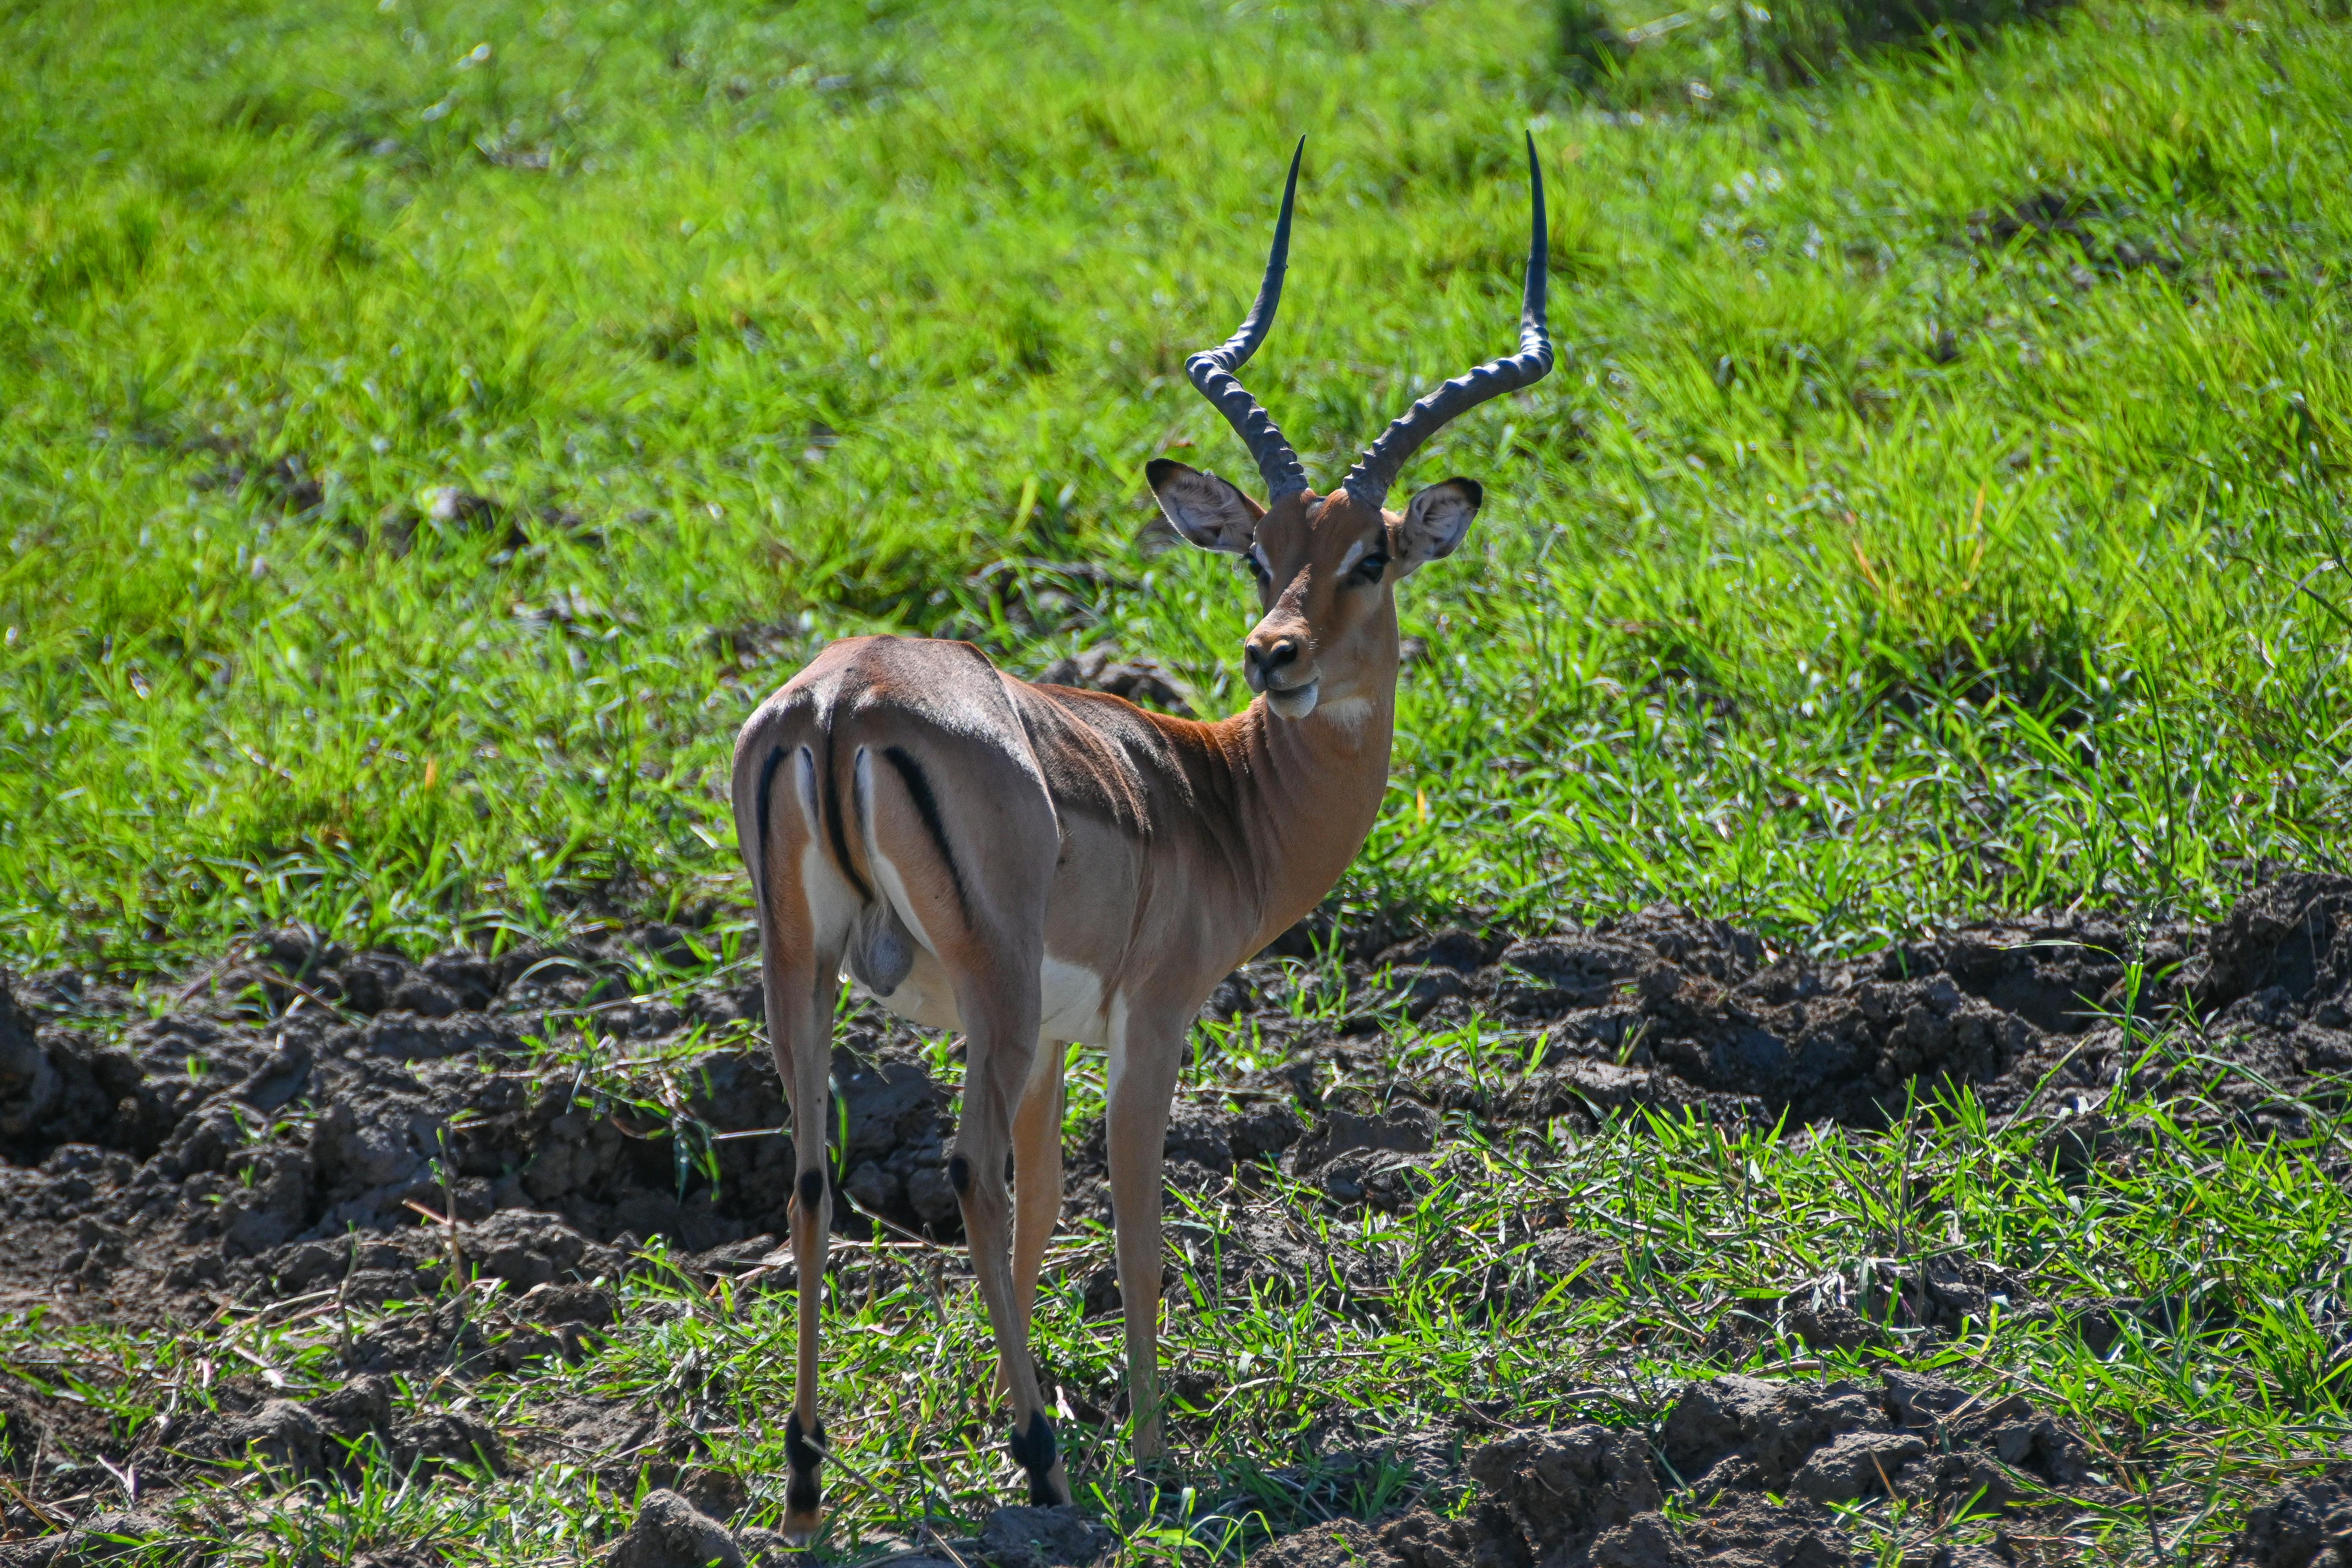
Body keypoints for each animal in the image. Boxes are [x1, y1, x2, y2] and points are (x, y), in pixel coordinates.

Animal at [730, 134, 1554, 1534]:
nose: (1274, 653)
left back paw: (804, 1480)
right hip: (989, 985)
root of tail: (840, 701)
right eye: (1263, 550)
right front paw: (1147, 1448)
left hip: (810, 970)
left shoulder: (1055, 1044)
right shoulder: (1149, 1018)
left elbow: (1041, 1216)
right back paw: (1036, 1460)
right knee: (962, 1168)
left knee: (810, 1177)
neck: (1217, 798)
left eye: (1369, 556)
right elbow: (1132, 1225)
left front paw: (1019, 1406)